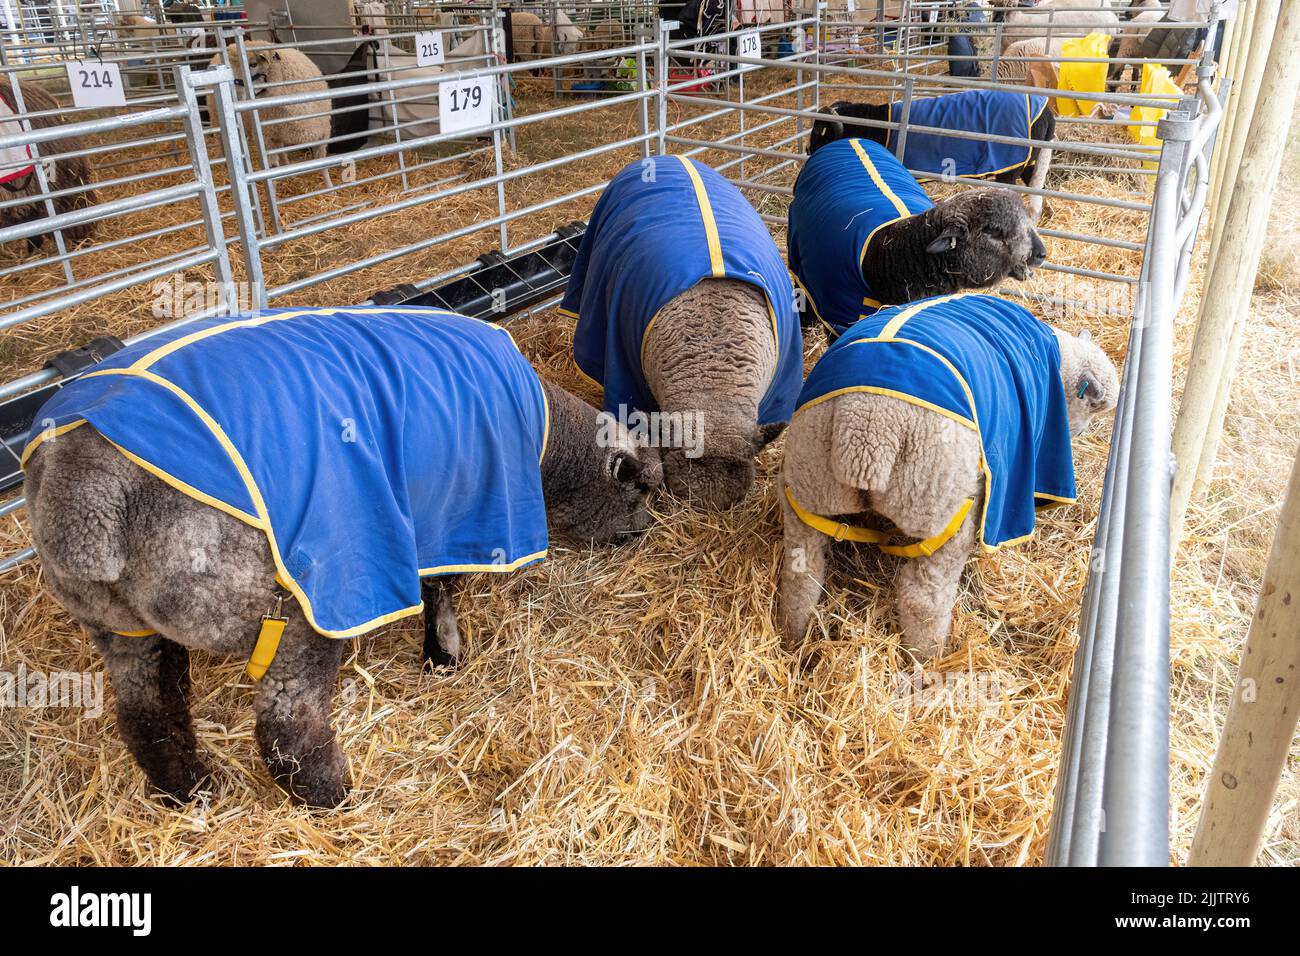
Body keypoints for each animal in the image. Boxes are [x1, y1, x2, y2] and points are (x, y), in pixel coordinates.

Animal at [23, 307, 663, 808]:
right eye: (641, 490)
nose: (641, 536)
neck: (548, 443)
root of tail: (86, 490)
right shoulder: (456, 511)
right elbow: (442, 588)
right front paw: (444, 653)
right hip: (293, 606)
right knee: (286, 728)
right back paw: (334, 796)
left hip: (118, 623)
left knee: (145, 713)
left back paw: (190, 792)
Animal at [209, 42, 333, 186]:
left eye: (253, 64)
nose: (234, 96)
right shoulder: (267, 138)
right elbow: (271, 170)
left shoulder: (323, 134)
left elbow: (323, 164)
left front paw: (330, 187)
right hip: (216, 117)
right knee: (220, 139)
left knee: (282, 151)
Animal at [779, 294, 1120, 659]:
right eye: (1089, 409)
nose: (1081, 431)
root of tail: (865, 429)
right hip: (941, 509)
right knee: (923, 600)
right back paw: (928, 657)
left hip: (808, 485)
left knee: (801, 575)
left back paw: (794, 636)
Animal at [808, 91, 1056, 222]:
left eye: (820, 132)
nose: (809, 151)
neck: (877, 125)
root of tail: (1046, 113)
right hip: (1030, 163)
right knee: (1038, 188)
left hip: (1010, 169)